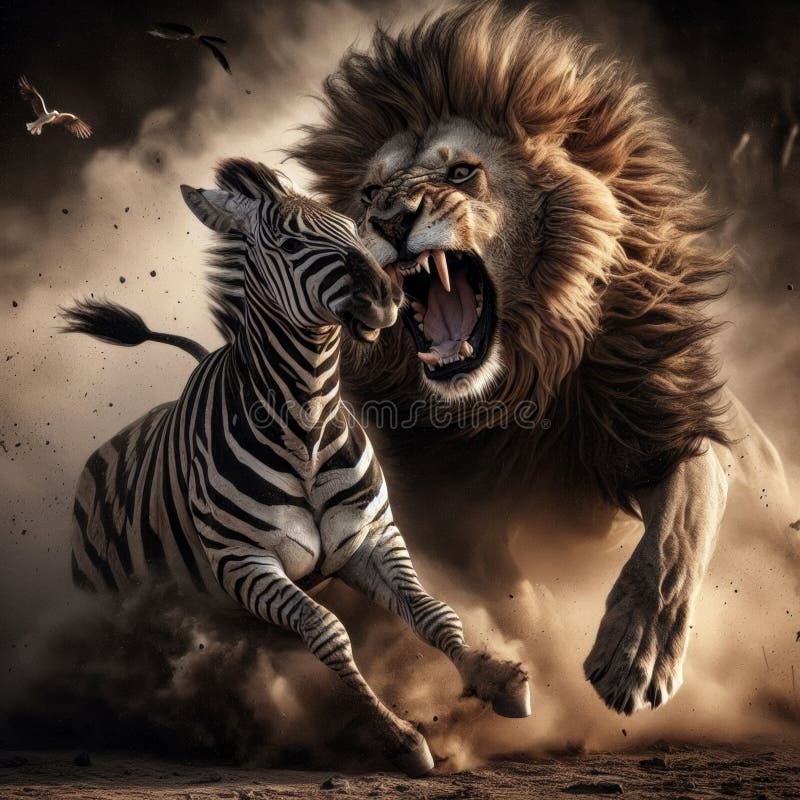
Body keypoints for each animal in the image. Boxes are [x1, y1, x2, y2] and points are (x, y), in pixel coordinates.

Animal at [61, 158, 531, 775]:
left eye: (354, 230)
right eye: (288, 244)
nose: (387, 296)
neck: (304, 422)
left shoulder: (371, 540)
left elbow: (436, 613)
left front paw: (498, 681)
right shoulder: (245, 563)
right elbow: (328, 632)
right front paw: (401, 737)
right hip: (109, 593)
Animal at [201, 2, 789, 716]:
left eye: (461, 172)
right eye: (368, 193)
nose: (389, 219)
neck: (516, 388)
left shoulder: (664, 428)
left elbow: (675, 532)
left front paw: (634, 654)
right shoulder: (437, 503)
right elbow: (491, 577)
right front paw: (530, 639)